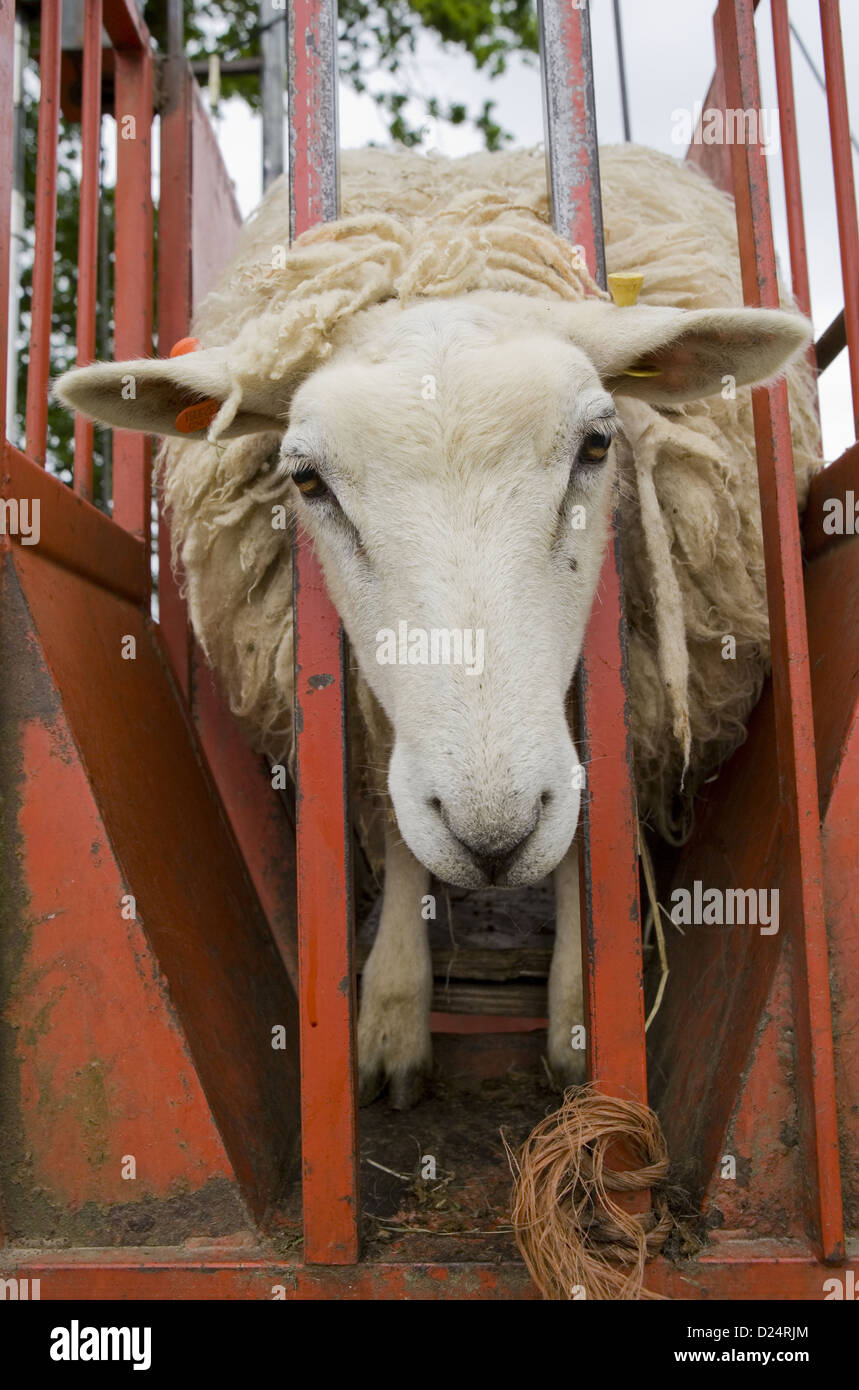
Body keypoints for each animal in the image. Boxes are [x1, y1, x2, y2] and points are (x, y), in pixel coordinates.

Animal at [57, 143, 820, 1110]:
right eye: (306, 479)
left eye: (597, 444)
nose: (491, 837)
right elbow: (395, 822)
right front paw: (390, 1013)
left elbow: (583, 829)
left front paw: (581, 1016)